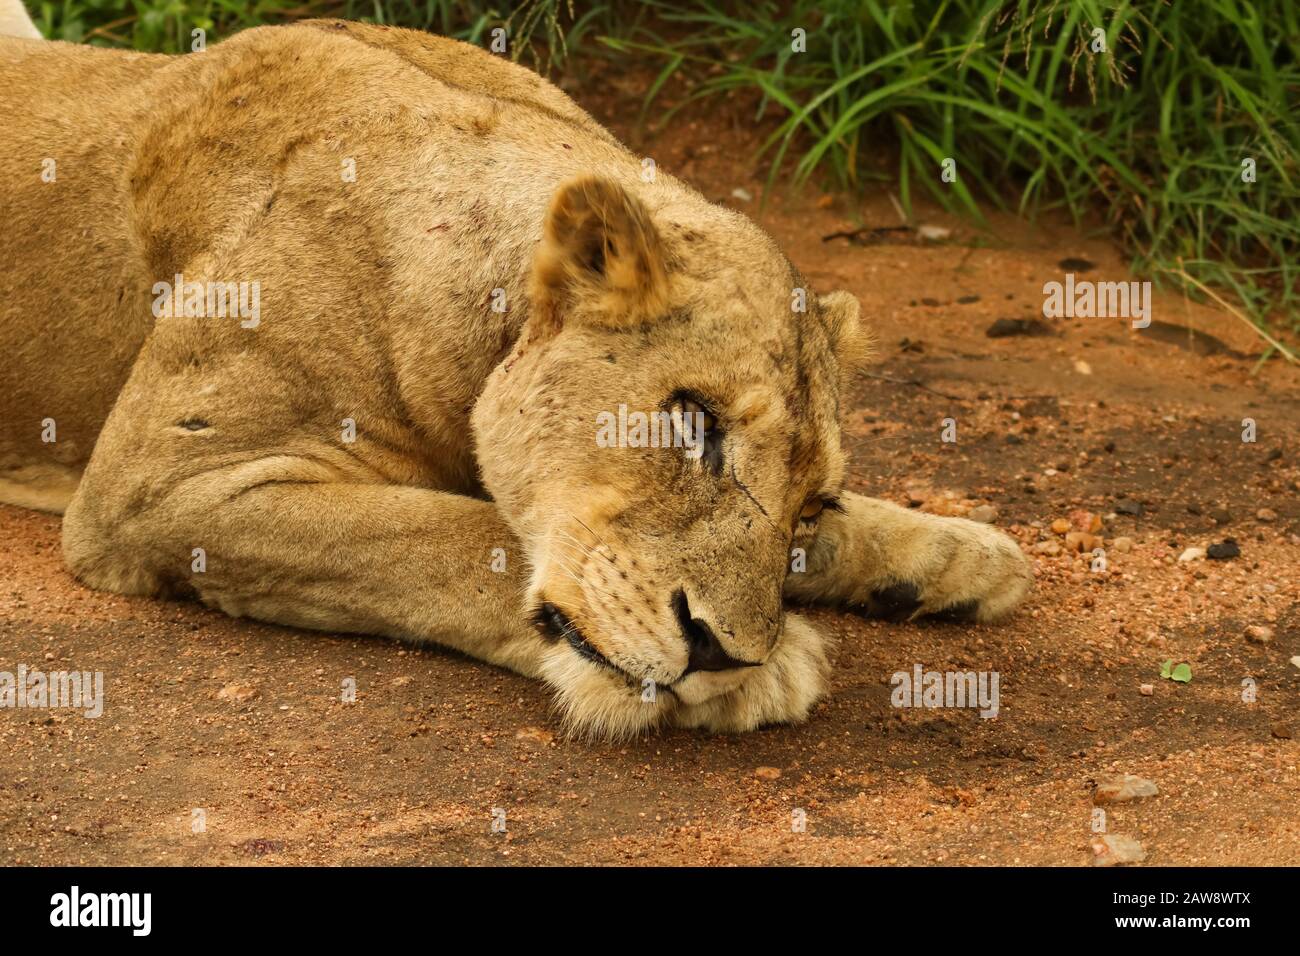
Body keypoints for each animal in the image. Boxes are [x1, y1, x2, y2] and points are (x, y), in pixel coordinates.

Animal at [0, 12, 1032, 738]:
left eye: (811, 505)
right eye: (694, 425)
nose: (721, 653)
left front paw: (953, 554)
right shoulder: (155, 489)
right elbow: (449, 537)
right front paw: (769, 672)